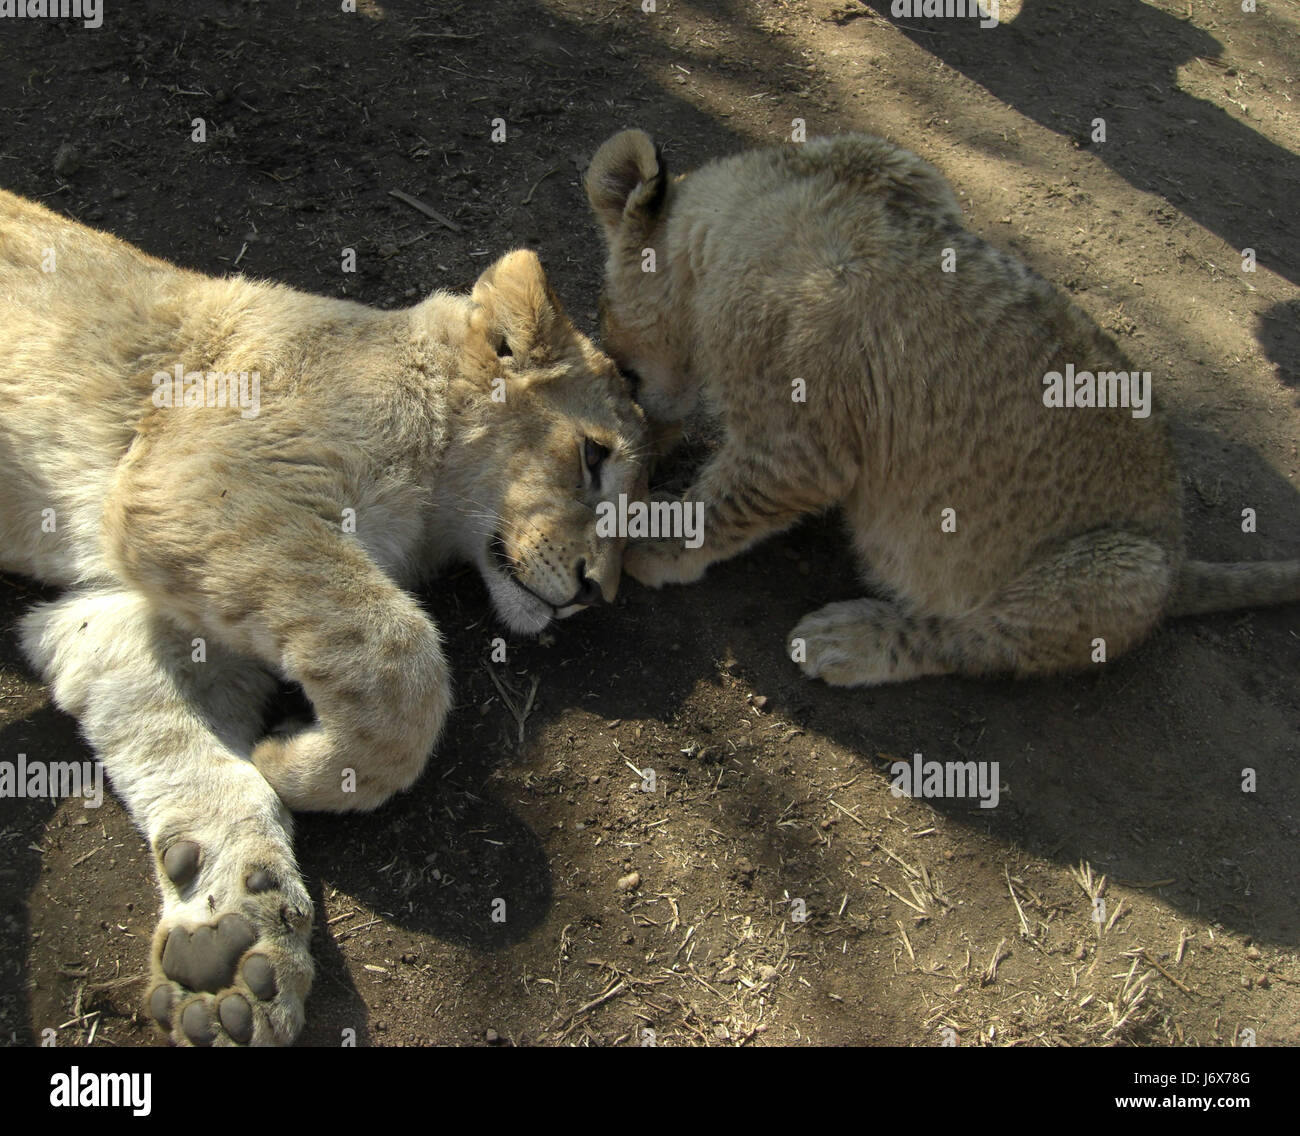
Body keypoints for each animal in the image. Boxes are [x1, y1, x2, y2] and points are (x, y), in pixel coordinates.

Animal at [0, 188, 646, 1045]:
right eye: (593, 456)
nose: (595, 593)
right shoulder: (199, 482)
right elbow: (402, 662)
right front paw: (288, 765)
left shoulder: (117, 610)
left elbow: (188, 753)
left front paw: (229, 949)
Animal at [585, 129, 1300, 686]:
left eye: (623, 368)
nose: (642, 427)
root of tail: (1178, 566)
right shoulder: (908, 168)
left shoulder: (799, 441)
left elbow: (725, 505)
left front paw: (650, 540)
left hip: (1113, 568)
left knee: (975, 640)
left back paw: (853, 638)